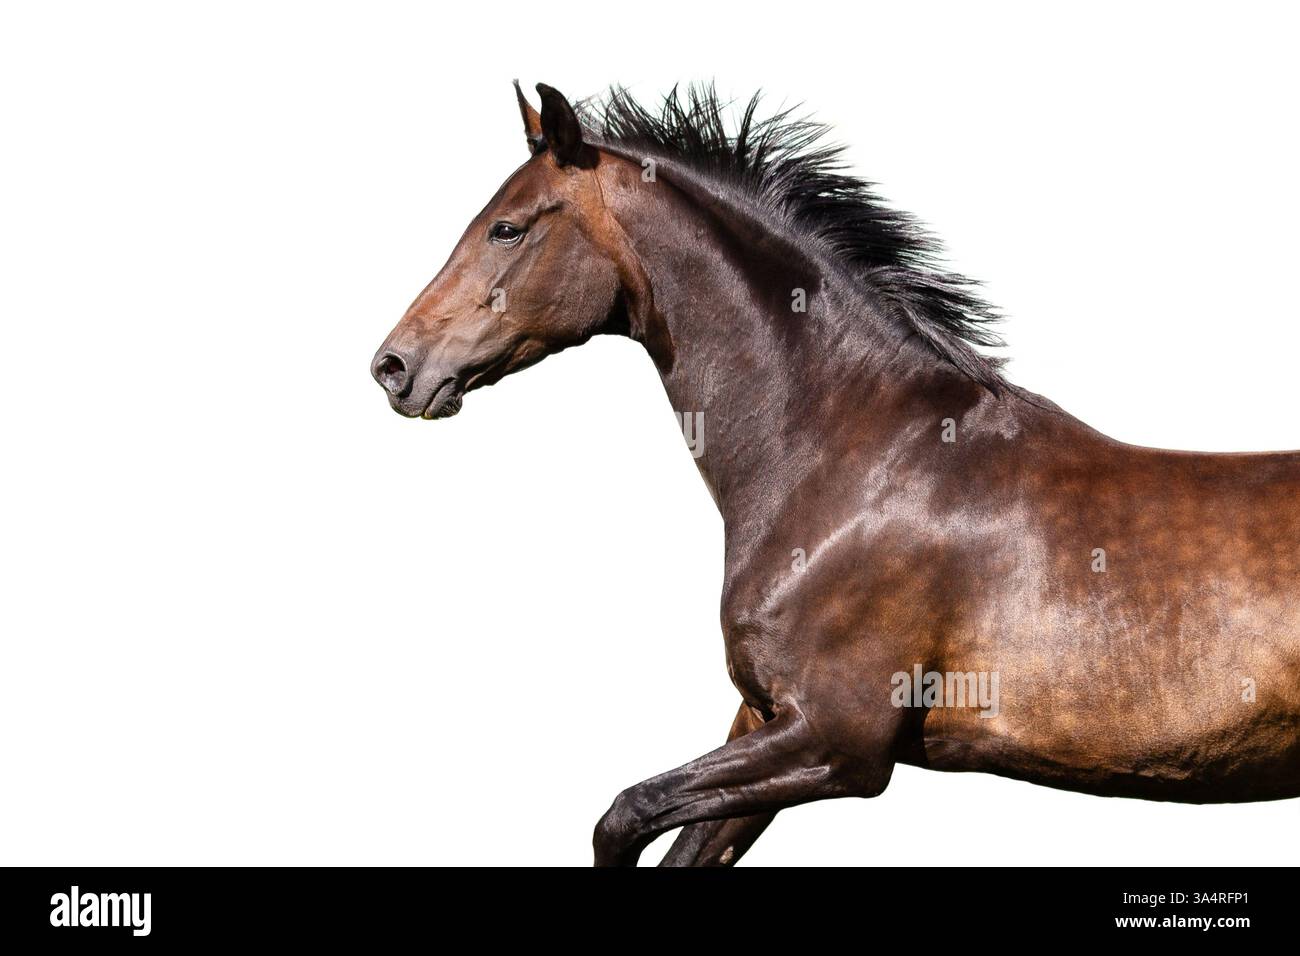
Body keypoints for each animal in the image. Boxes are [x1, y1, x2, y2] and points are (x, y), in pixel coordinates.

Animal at [371, 82, 1300, 866]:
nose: (394, 367)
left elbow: (622, 816)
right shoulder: (764, 719)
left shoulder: (837, 741)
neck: (856, 464)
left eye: (509, 227)